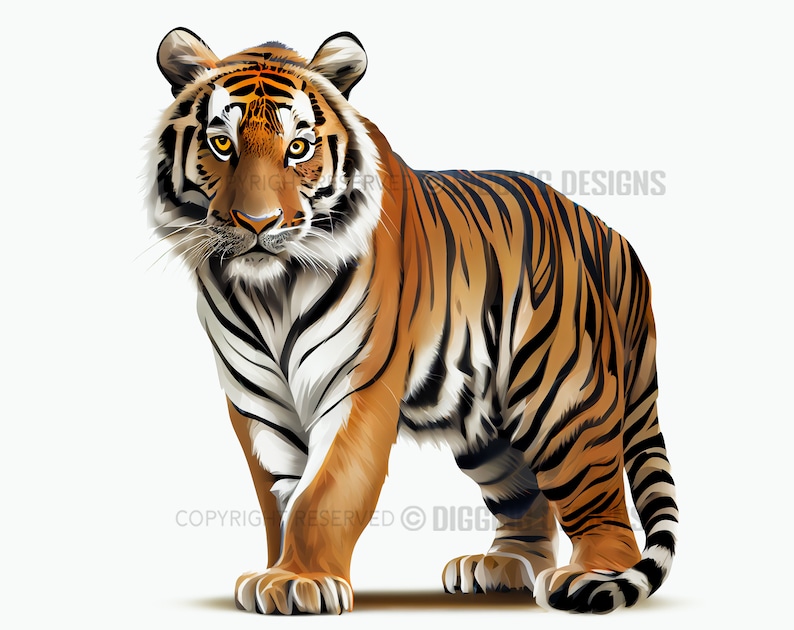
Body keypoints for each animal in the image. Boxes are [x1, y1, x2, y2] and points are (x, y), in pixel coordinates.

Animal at [149, 27, 678, 615]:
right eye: (222, 144)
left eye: (298, 148)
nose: (259, 224)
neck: (270, 291)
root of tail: (611, 236)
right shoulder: (255, 395)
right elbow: (278, 495)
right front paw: (277, 572)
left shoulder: (358, 383)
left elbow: (323, 491)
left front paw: (299, 581)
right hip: (486, 426)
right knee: (527, 497)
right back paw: (504, 567)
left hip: (562, 399)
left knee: (602, 504)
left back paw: (589, 575)